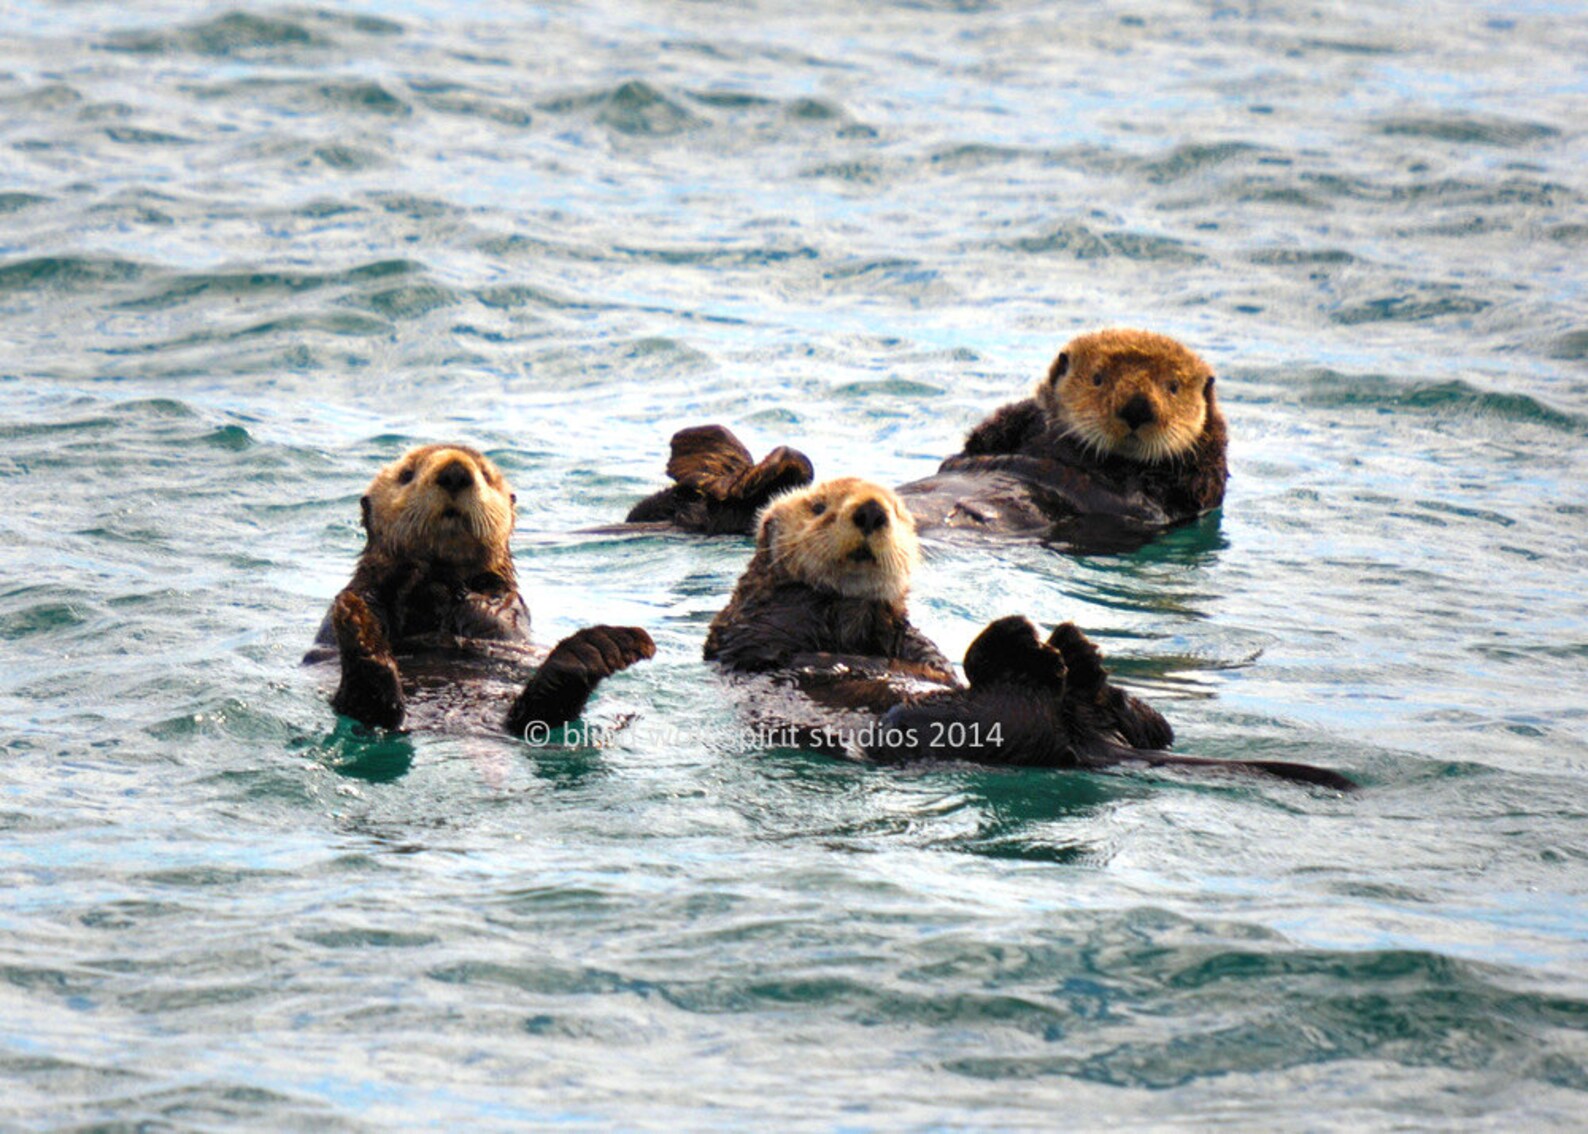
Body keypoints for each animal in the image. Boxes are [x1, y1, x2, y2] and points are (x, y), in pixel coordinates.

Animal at [305, 444, 655, 735]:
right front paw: (407, 579)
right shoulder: (361, 590)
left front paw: (454, 593)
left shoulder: (509, 600)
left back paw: (598, 650)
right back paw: (361, 632)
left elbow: (498, 617)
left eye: (485, 475)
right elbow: (367, 598)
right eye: (406, 475)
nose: (455, 472)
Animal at [706, 479, 1354, 790]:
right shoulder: (755, 626)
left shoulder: (901, 638)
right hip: (924, 726)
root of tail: (1089, 742)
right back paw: (1034, 647)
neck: (851, 623)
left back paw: (1072, 653)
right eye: (819, 506)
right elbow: (775, 631)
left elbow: (925, 655)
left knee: (1145, 720)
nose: (870, 512)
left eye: (897, 510)